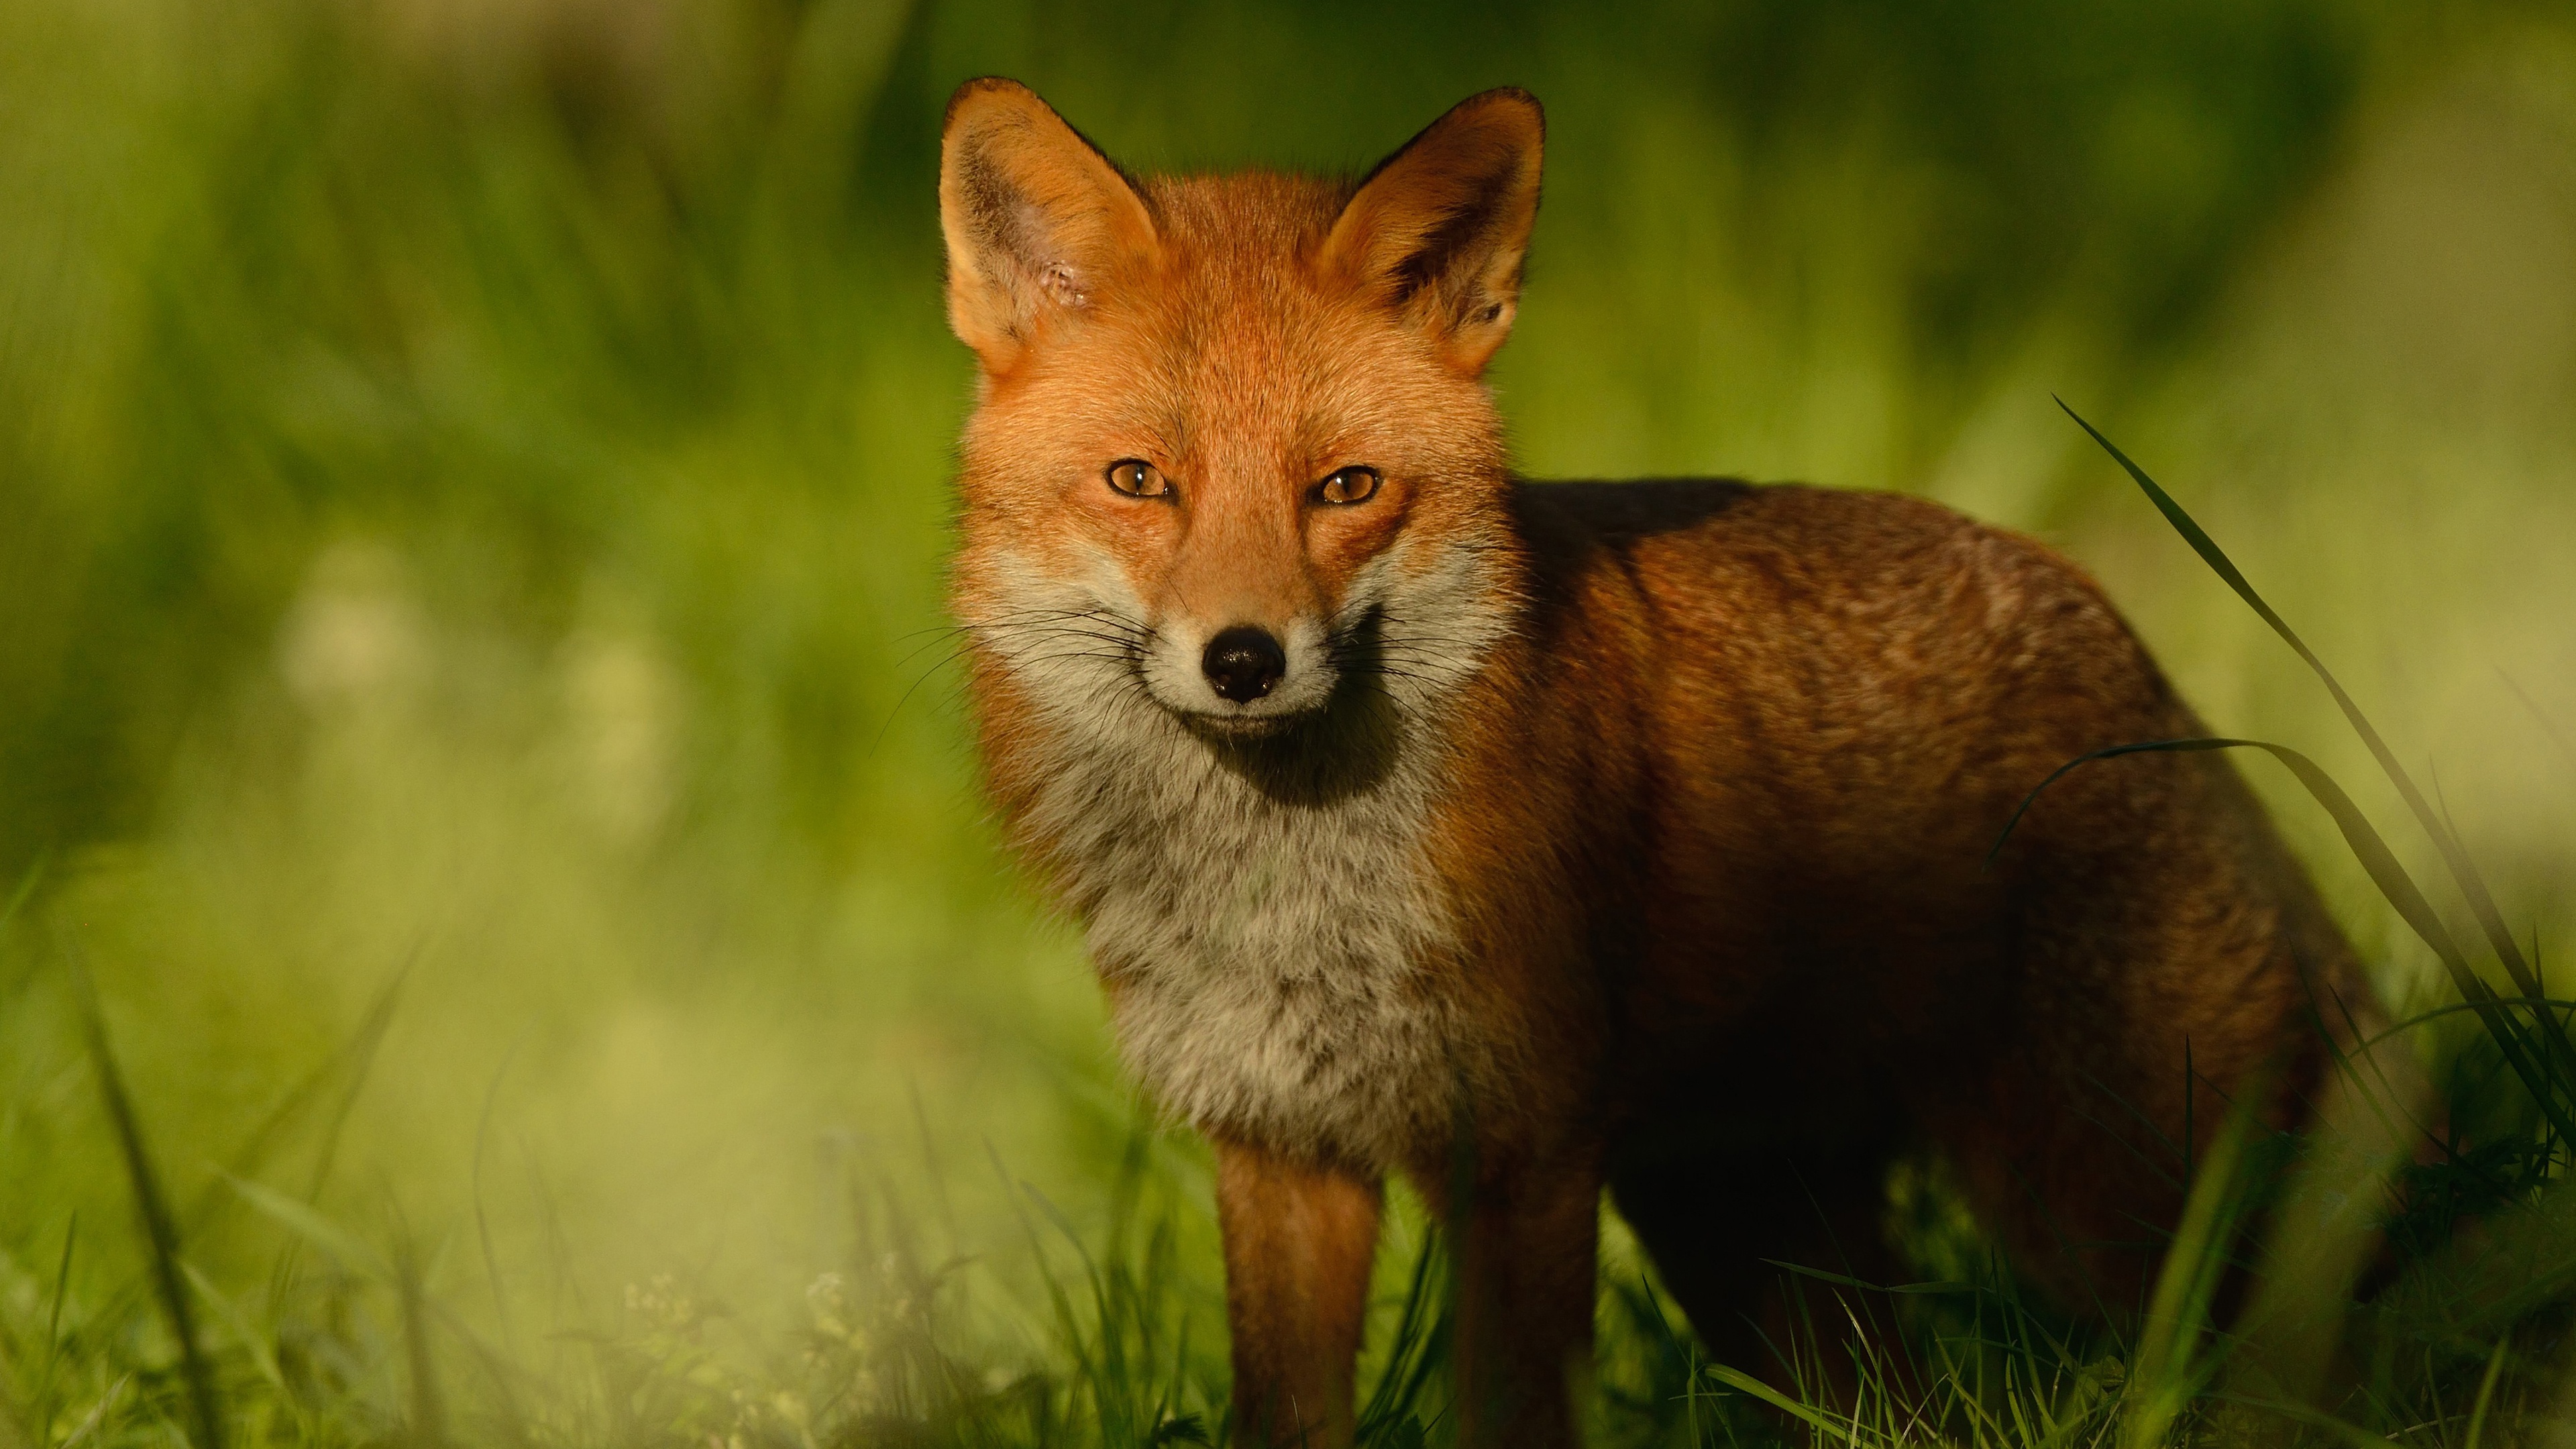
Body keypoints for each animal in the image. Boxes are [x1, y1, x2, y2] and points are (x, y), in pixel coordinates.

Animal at [936, 79, 2399, 1448]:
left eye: (1345, 489)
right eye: (1139, 481)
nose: (1244, 660)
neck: (1289, 901)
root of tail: (2125, 639)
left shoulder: (1522, 1153)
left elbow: (1515, 1418)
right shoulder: (1280, 1149)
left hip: (2107, 1197)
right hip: (1754, 1239)